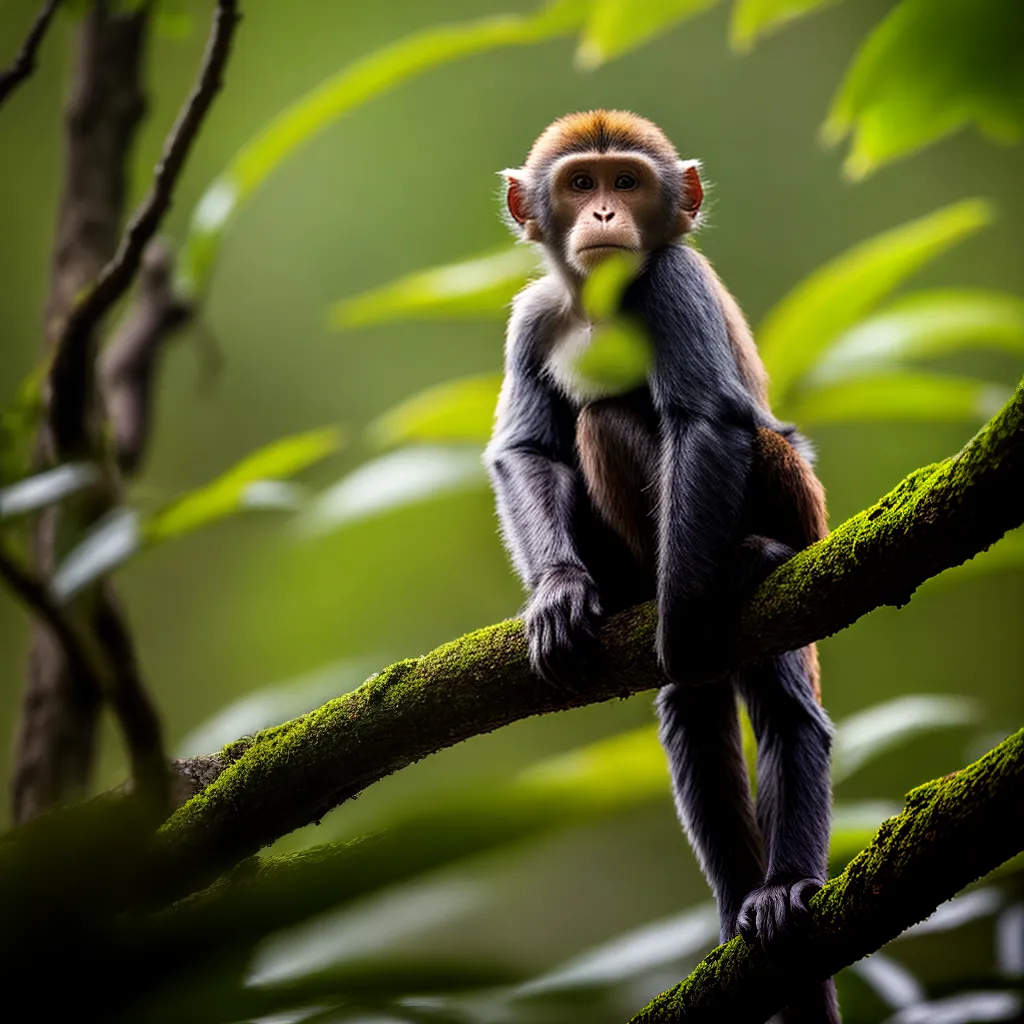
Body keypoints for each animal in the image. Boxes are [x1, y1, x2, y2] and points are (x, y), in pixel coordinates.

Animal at [484, 111, 839, 1024]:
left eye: (628, 181)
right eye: (581, 183)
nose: (606, 214)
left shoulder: (675, 282)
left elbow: (704, 419)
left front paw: (680, 617)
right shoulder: (532, 315)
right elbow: (527, 449)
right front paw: (559, 595)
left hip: (795, 503)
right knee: (692, 714)